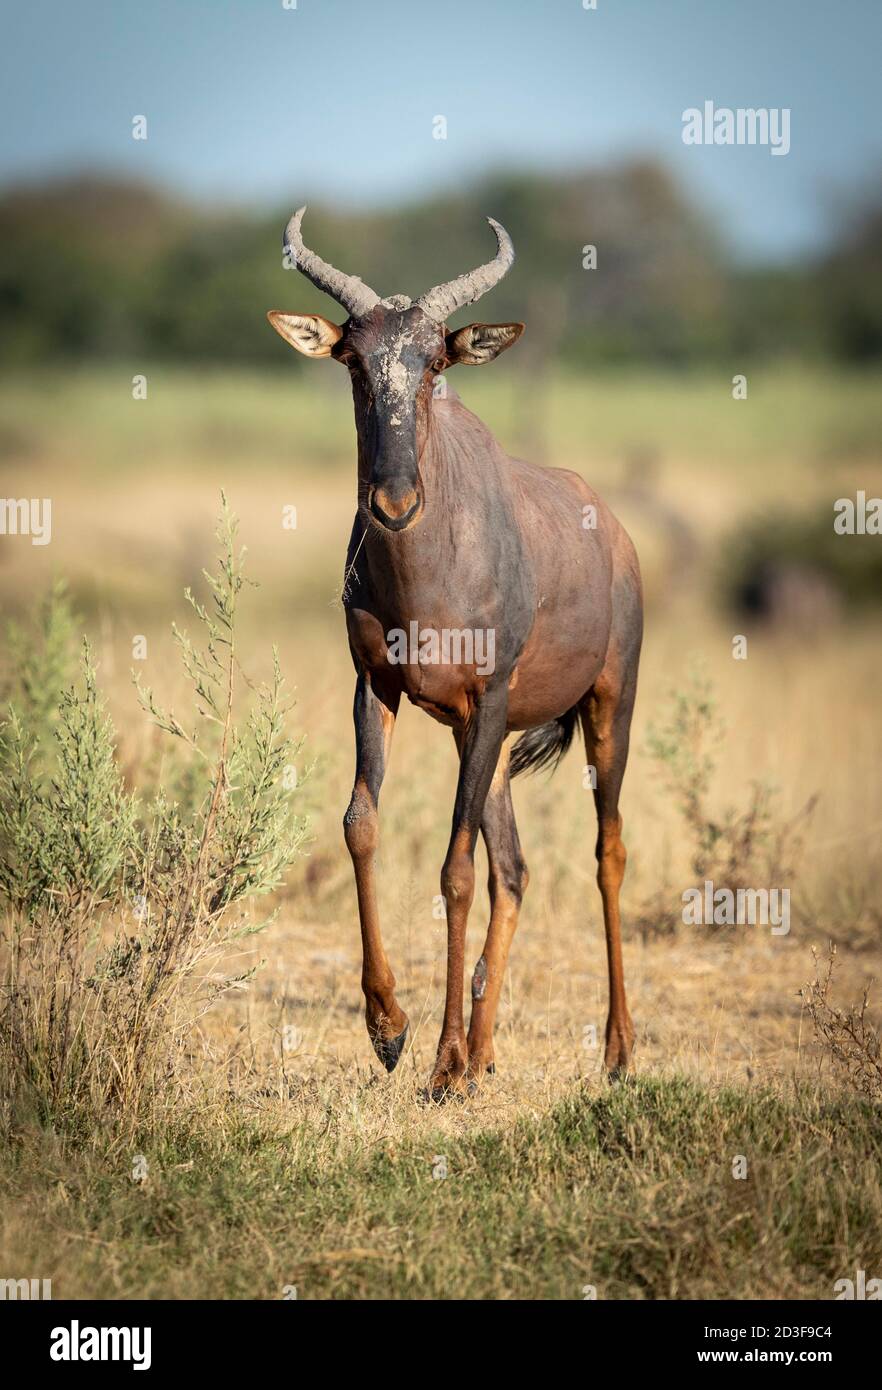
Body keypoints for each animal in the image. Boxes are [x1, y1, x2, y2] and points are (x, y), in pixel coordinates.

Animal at [268, 210, 643, 1098]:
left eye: (436, 360)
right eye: (354, 359)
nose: (393, 501)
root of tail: (613, 529)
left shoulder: (489, 697)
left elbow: (453, 869)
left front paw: (436, 1065)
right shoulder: (377, 687)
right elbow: (361, 826)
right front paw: (389, 1031)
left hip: (605, 706)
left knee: (607, 851)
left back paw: (614, 1052)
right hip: (492, 742)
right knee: (517, 870)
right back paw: (484, 1053)